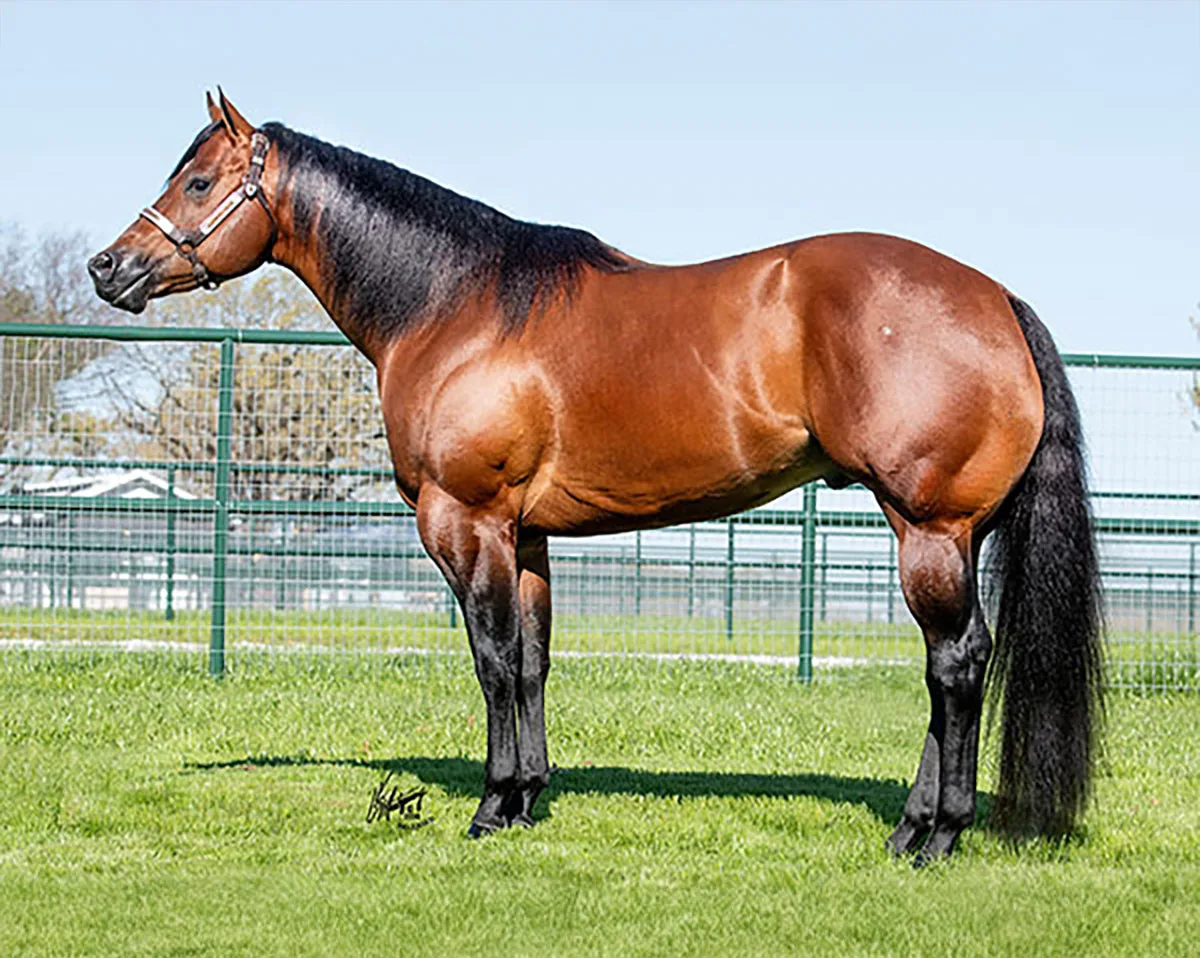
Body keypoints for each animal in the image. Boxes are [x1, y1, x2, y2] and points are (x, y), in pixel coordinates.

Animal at [89, 91, 1103, 864]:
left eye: (200, 181)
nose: (110, 266)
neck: (454, 304)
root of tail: (994, 298)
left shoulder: (467, 522)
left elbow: (493, 662)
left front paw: (489, 807)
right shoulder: (527, 536)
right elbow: (534, 662)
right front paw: (529, 799)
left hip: (928, 529)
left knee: (956, 664)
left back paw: (938, 837)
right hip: (945, 535)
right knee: (947, 671)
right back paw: (908, 829)